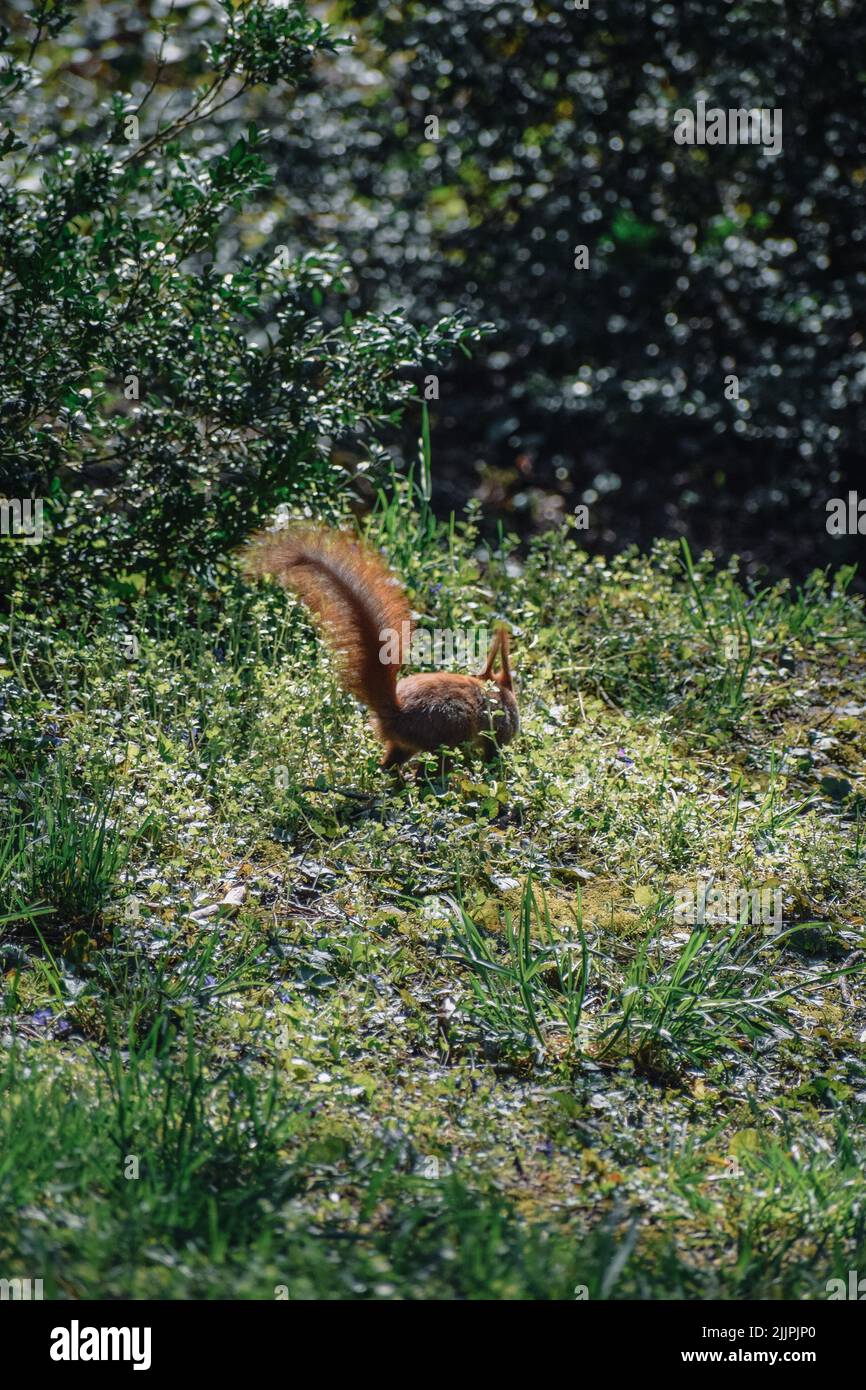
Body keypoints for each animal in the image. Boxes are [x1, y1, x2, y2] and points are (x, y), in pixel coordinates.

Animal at [244, 525, 519, 769]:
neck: (495, 690)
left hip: (404, 746)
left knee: (388, 768)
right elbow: (493, 755)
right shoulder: (498, 732)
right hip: (448, 739)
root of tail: (397, 712)